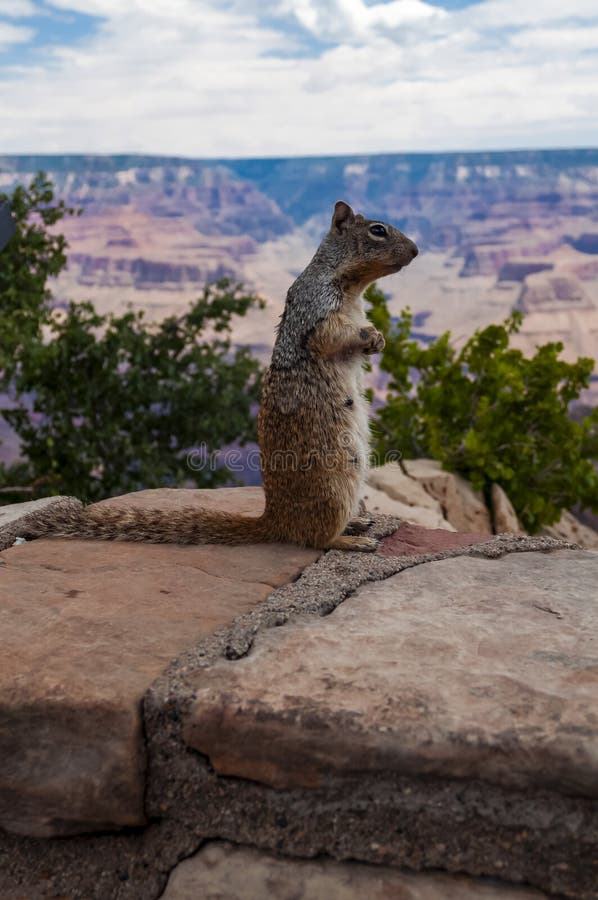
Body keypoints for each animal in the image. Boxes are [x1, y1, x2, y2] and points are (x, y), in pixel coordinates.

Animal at [24, 201, 418, 551]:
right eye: (378, 230)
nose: (416, 250)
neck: (351, 288)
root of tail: (274, 521)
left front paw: (378, 339)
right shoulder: (318, 311)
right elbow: (334, 335)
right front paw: (368, 335)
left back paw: (358, 523)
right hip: (335, 485)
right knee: (315, 538)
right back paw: (352, 539)